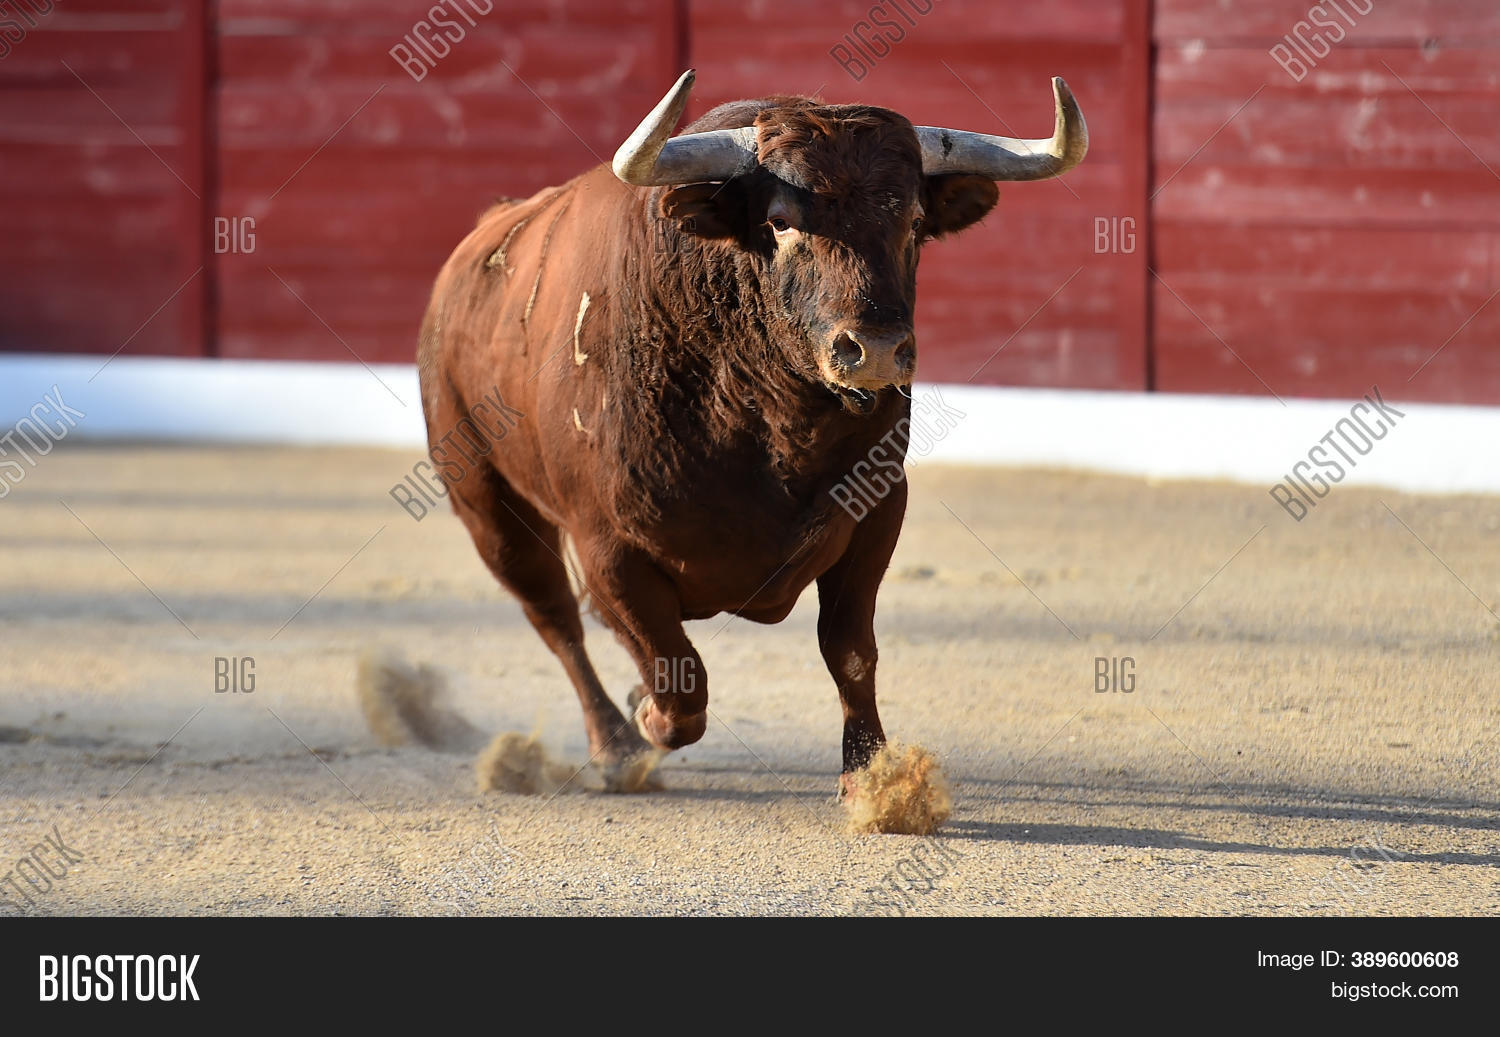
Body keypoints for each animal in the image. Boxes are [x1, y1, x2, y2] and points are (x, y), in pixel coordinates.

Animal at [418, 69, 1086, 798]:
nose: (876, 350)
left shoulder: (879, 510)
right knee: (555, 617)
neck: (772, 422)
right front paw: (643, 718)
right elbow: (678, 681)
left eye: (913, 222)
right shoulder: (607, 546)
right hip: (488, 507)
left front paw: (869, 778)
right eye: (781, 221)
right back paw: (616, 744)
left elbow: (850, 649)